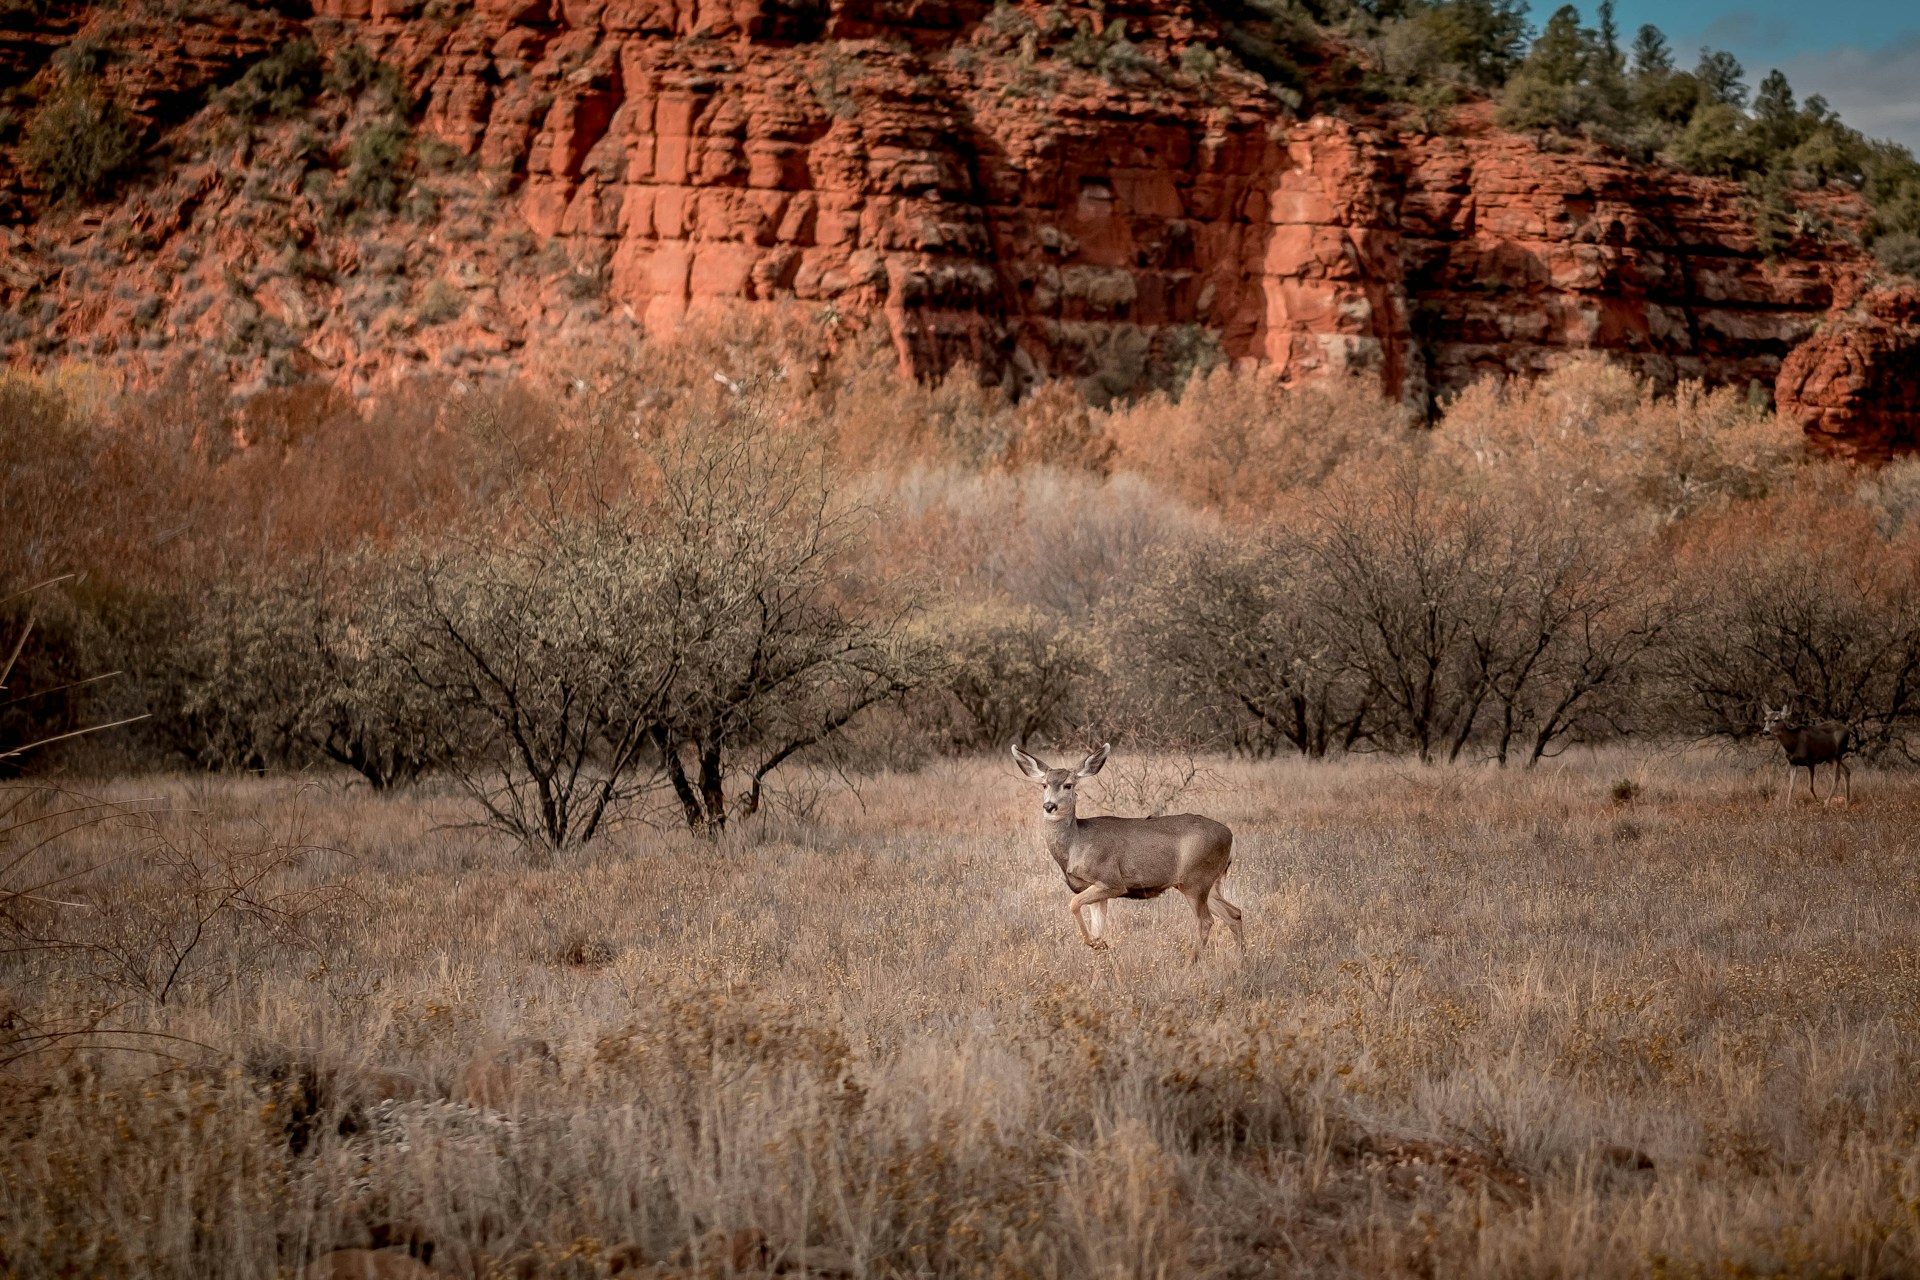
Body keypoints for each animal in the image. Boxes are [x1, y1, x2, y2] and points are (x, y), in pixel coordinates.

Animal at [1011, 742, 1243, 960]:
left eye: (1068, 785)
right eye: (1044, 784)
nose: (1049, 806)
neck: (1076, 845)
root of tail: (1230, 837)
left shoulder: (1111, 881)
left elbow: (1073, 903)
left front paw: (1096, 943)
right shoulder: (1094, 890)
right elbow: (1098, 929)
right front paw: (1100, 951)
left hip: (1195, 879)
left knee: (1206, 921)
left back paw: (1190, 965)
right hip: (1208, 883)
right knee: (1234, 913)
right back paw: (1242, 961)